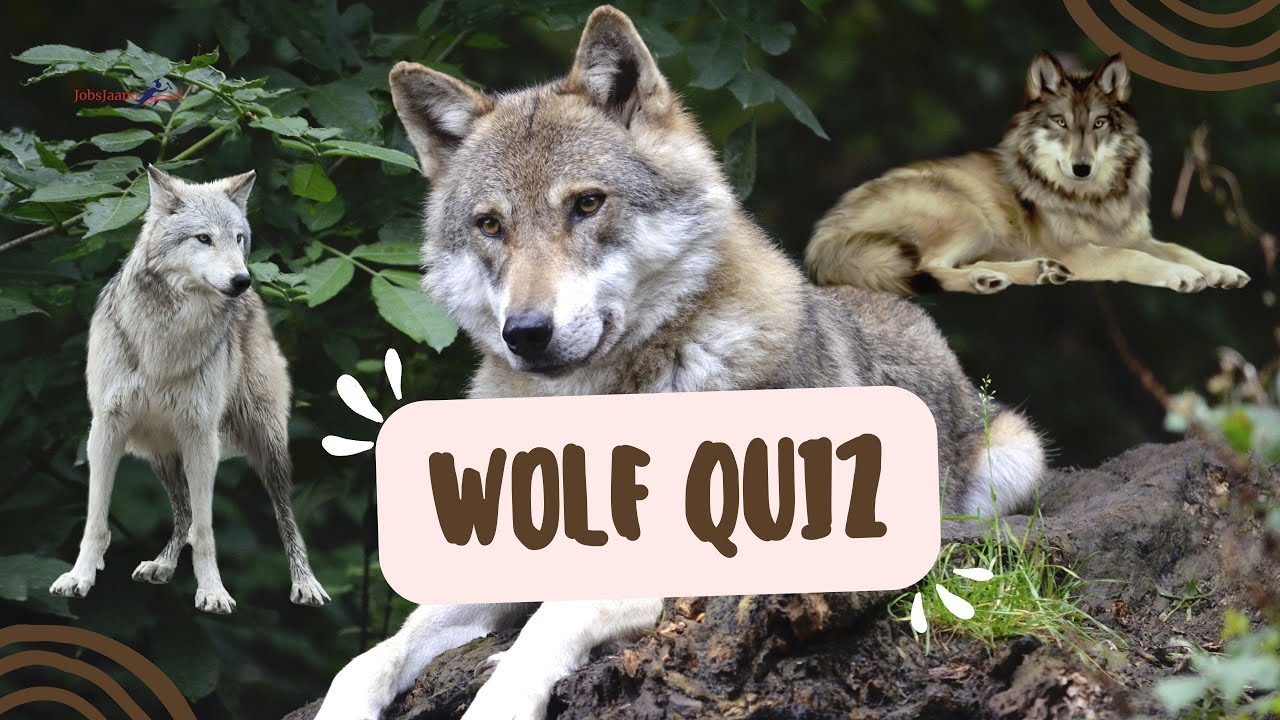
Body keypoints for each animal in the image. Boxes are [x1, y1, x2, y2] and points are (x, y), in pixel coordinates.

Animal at [49, 166, 329, 613]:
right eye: (203, 238)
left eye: (238, 239)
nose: (241, 280)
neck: (166, 339)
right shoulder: (106, 430)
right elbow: (97, 521)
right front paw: (79, 577)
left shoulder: (201, 436)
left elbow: (206, 531)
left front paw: (212, 592)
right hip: (159, 450)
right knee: (182, 511)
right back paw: (161, 565)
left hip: (265, 444)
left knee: (283, 516)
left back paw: (305, 584)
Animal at [314, 6, 1046, 719]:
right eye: (491, 225)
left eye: (587, 204)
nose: (525, 333)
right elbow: (371, 657)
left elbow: (547, 625)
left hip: (1013, 459)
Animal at [805, 52, 1250, 295]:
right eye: (1061, 122)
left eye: (1099, 124)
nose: (1082, 168)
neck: (1097, 197)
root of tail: (823, 233)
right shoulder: (1080, 251)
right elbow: (1133, 258)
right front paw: (1182, 276)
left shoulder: (1138, 236)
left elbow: (1179, 249)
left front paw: (1221, 271)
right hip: (970, 217)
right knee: (929, 268)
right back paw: (993, 278)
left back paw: (1034, 273)